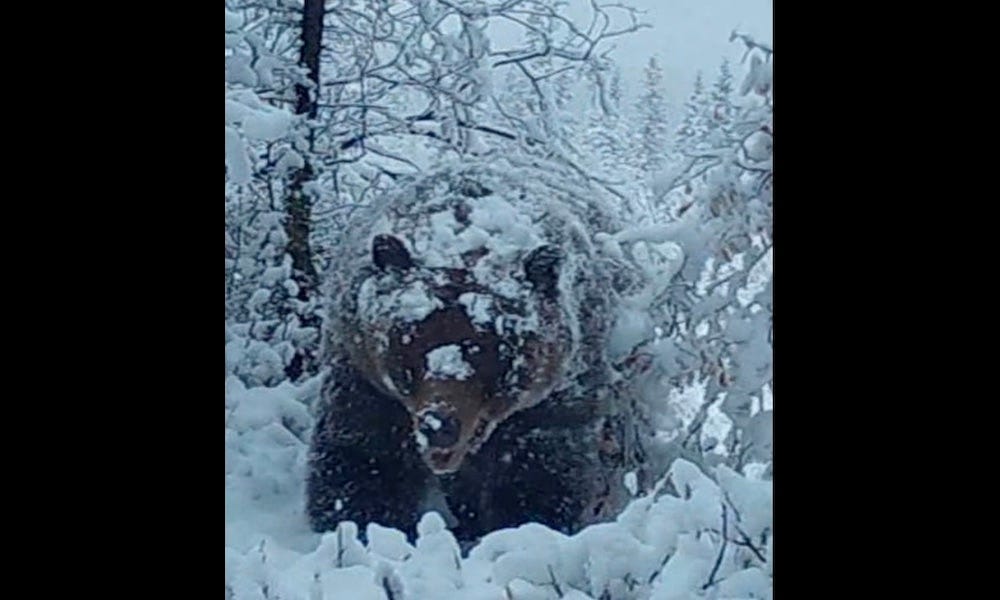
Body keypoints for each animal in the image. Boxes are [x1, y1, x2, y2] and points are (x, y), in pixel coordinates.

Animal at [306, 159, 651, 543]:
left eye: (488, 348)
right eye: (408, 340)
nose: (438, 424)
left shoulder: (554, 401)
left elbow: (541, 477)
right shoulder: (364, 378)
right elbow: (364, 460)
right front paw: (362, 525)